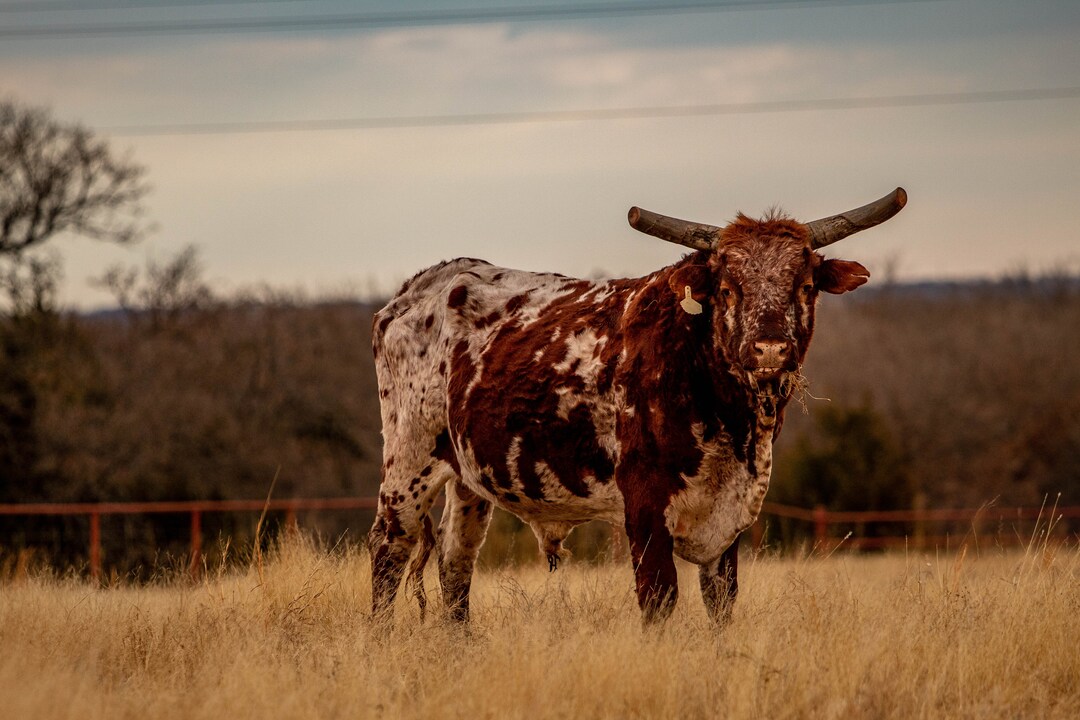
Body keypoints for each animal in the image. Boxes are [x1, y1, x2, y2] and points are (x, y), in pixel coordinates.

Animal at [368, 187, 907, 624]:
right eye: (728, 288)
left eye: (805, 285)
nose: (770, 350)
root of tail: (420, 286)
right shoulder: (644, 507)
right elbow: (659, 601)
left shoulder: (729, 520)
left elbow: (721, 604)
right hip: (407, 460)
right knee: (389, 549)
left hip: (468, 476)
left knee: (456, 562)